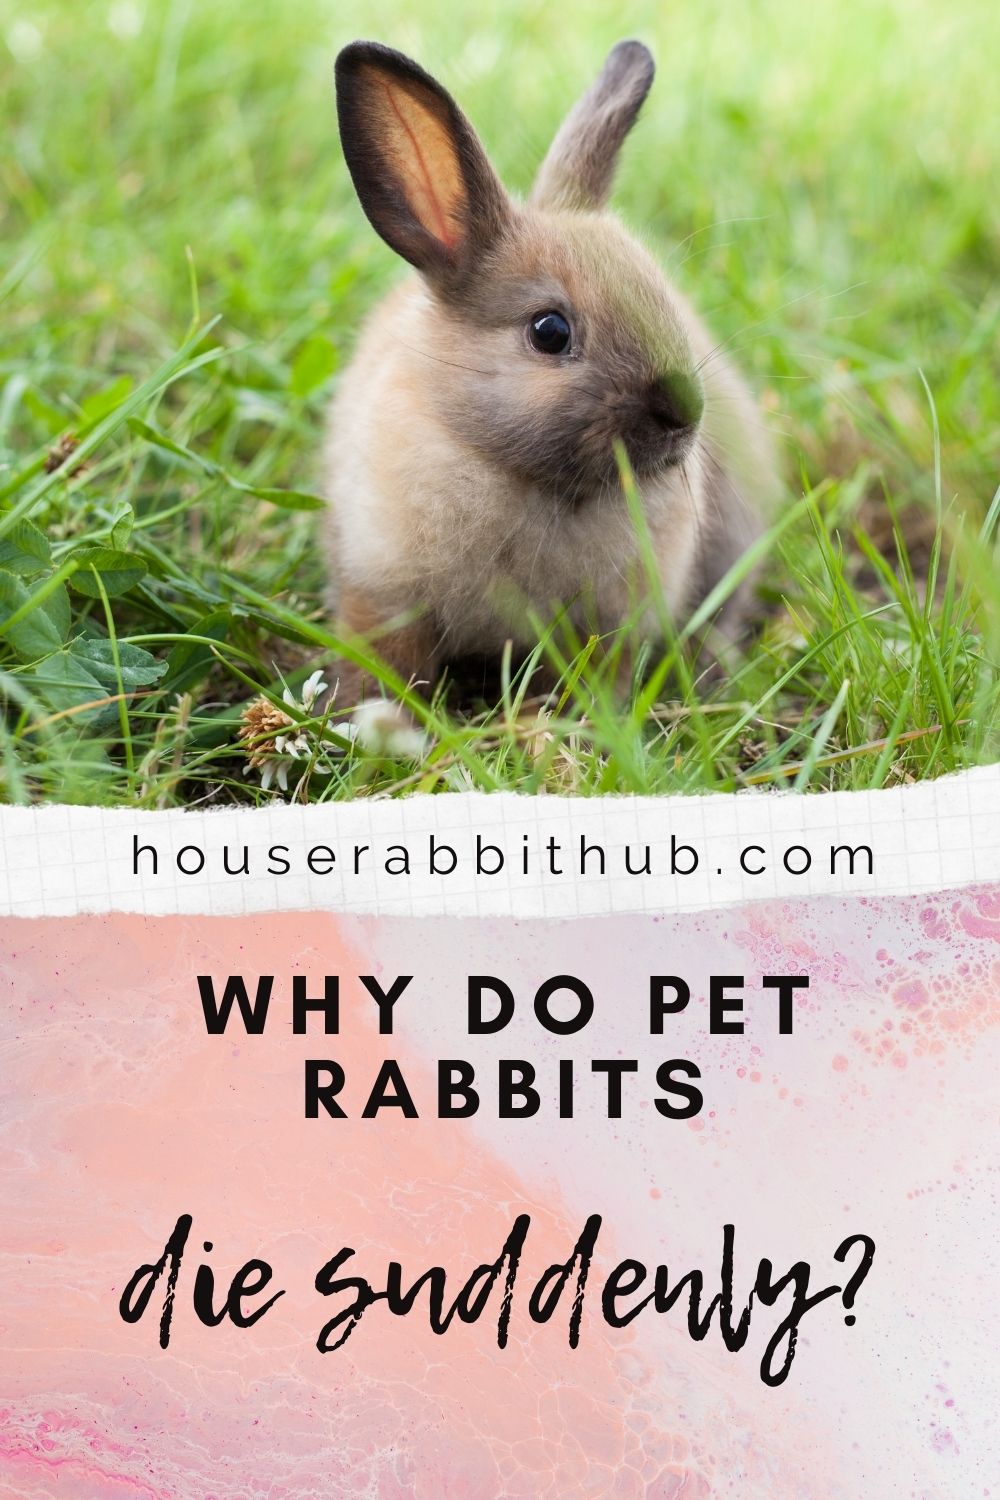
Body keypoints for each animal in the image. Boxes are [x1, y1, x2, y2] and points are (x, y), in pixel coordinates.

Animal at [323, 38, 776, 744]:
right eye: (550, 331)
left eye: (664, 298)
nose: (683, 413)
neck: (526, 478)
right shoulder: (383, 594)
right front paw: (373, 719)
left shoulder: (607, 628)